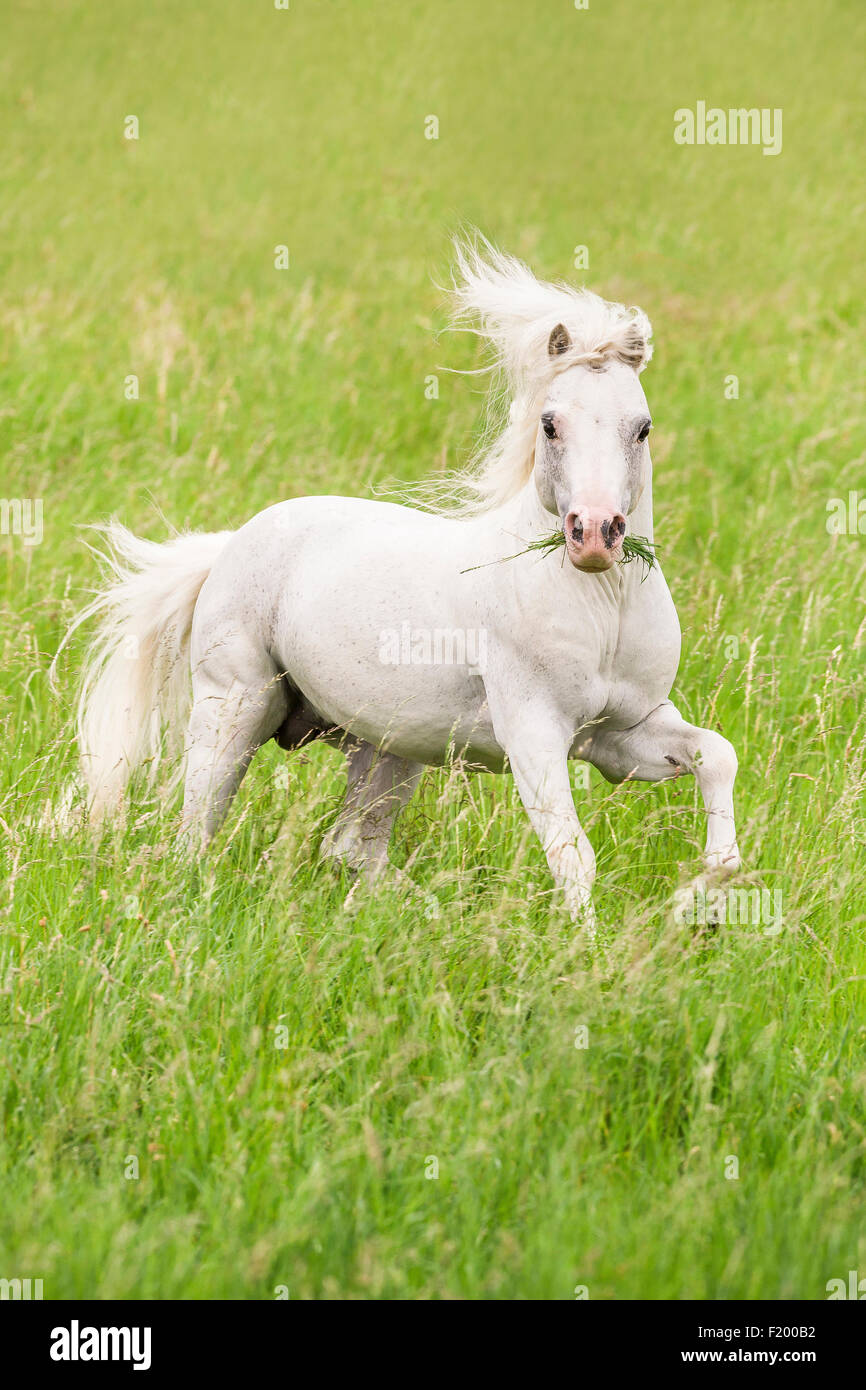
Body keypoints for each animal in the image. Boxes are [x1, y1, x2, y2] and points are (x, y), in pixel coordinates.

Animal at [69, 239, 745, 922]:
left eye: (643, 426)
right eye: (551, 424)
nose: (595, 535)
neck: (601, 609)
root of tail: (231, 543)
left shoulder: (620, 737)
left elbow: (715, 754)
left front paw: (706, 893)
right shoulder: (535, 731)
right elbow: (572, 853)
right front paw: (591, 942)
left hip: (386, 749)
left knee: (350, 849)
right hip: (234, 708)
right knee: (197, 831)